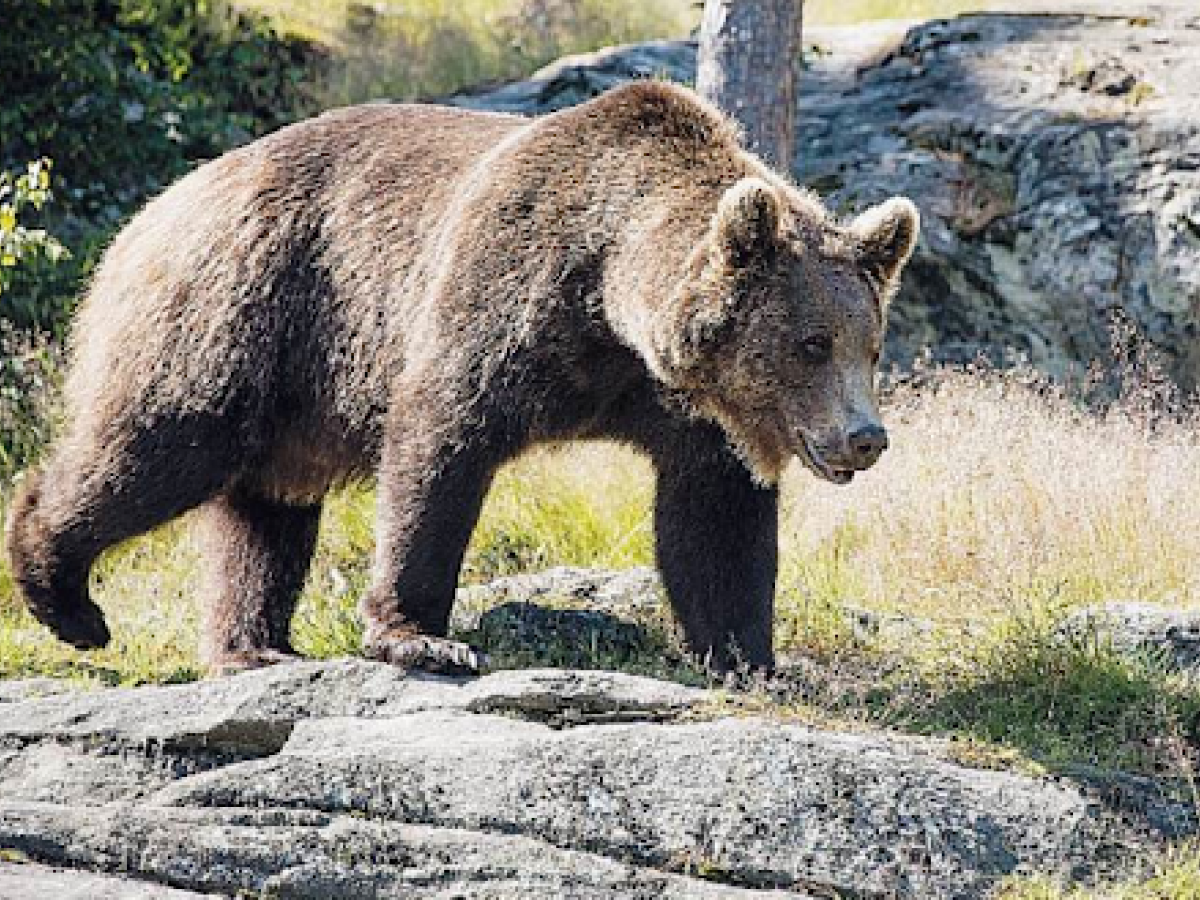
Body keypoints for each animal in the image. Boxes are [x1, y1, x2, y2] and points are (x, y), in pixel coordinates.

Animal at [6, 81, 918, 675]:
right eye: (811, 343)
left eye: (870, 345)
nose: (864, 438)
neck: (608, 301)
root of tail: (154, 209)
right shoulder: (500, 296)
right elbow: (440, 447)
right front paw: (422, 634)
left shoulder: (686, 407)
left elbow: (715, 519)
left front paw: (747, 656)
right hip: (239, 310)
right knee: (162, 445)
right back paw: (66, 598)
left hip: (288, 392)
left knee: (266, 511)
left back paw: (253, 645)